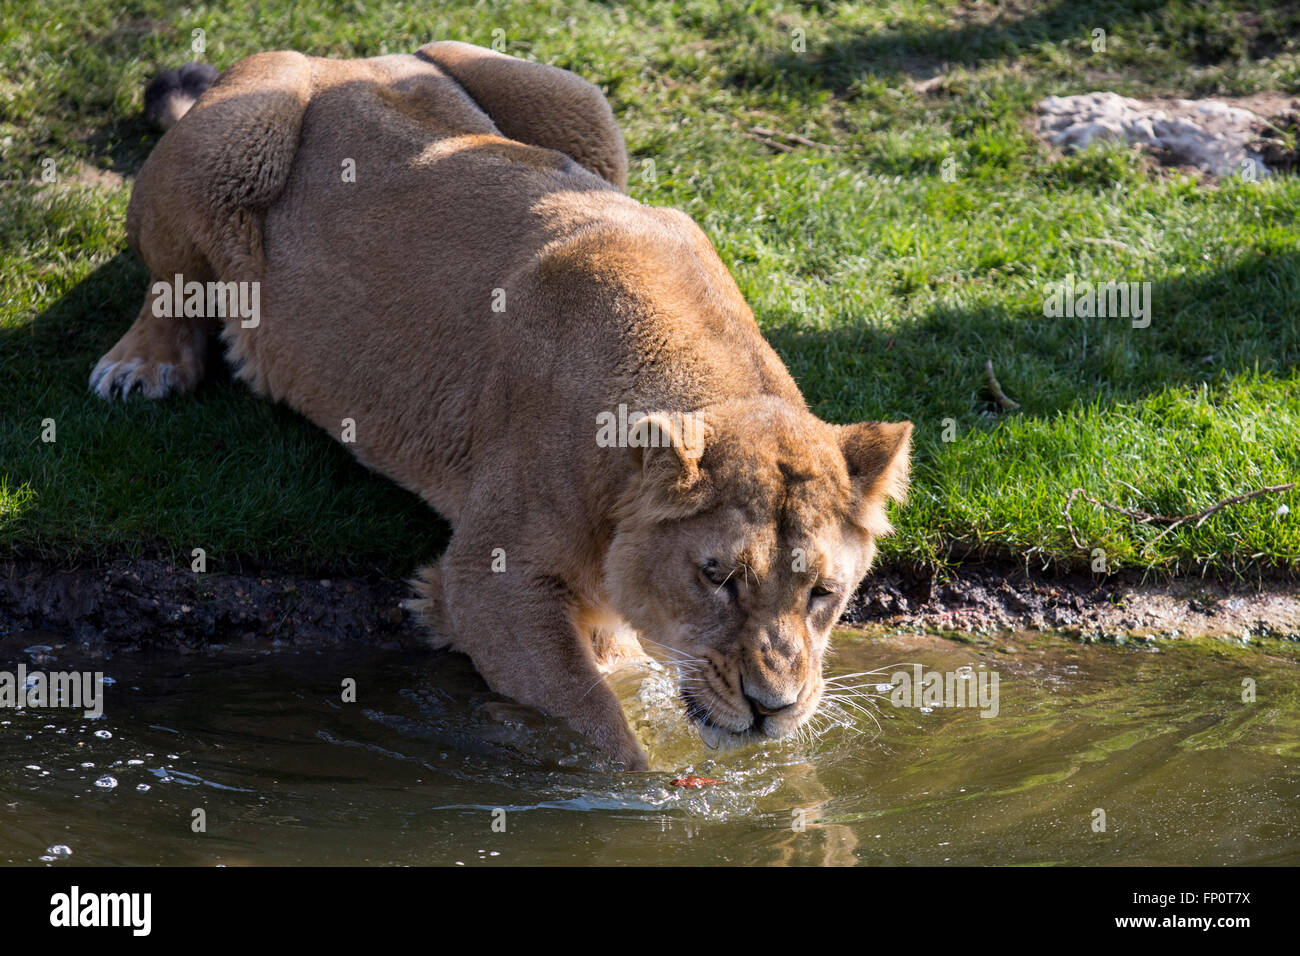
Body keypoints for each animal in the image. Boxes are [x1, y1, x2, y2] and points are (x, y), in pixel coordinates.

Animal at [94, 42, 913, 770]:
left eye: (824, 592)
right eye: (717, 577)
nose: (772, 709)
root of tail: (346, 58)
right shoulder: (488, 582)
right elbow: (601, 731)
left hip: (578, 101)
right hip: (240, 133)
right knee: (171, 281)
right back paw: (143, 365)